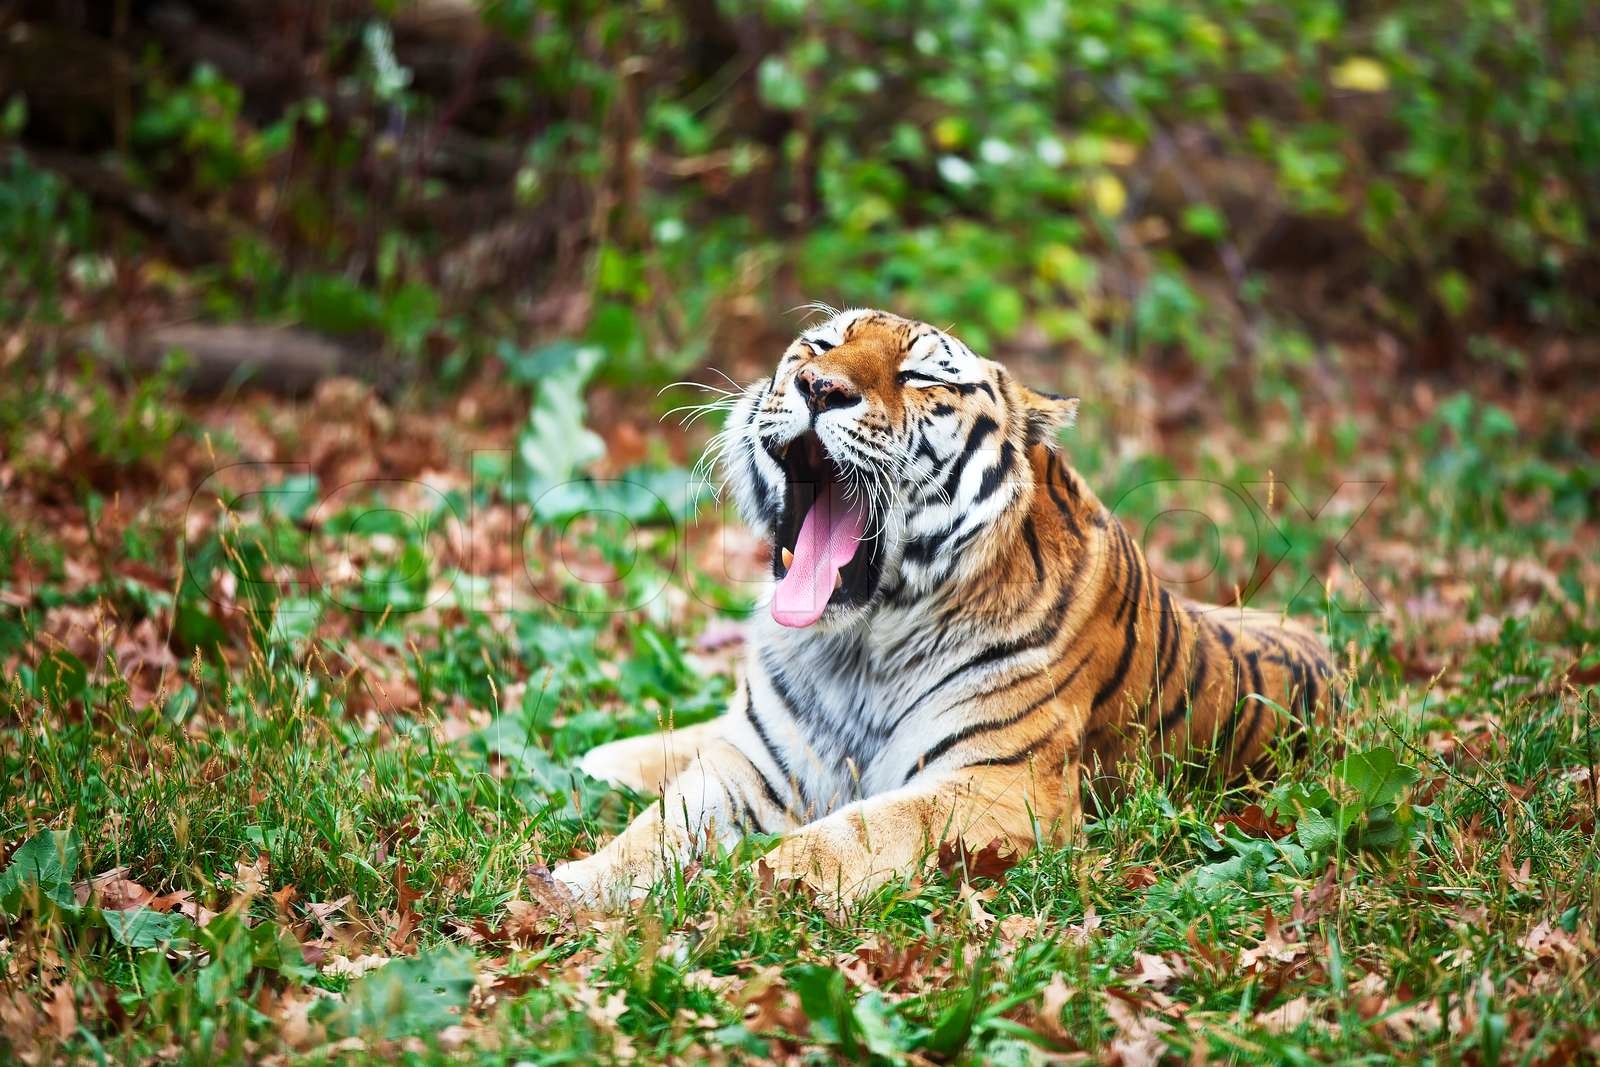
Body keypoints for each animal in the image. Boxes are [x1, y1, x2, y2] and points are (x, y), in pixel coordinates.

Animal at [550, 307, 1337, 904]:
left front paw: (747, 883)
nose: (817, 386)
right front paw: (579, 884)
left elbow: (854, 831)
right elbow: (663, 822)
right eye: (820, 346)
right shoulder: (755, 761)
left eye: (920, 376)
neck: (857, 647)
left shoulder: (1001, 784)